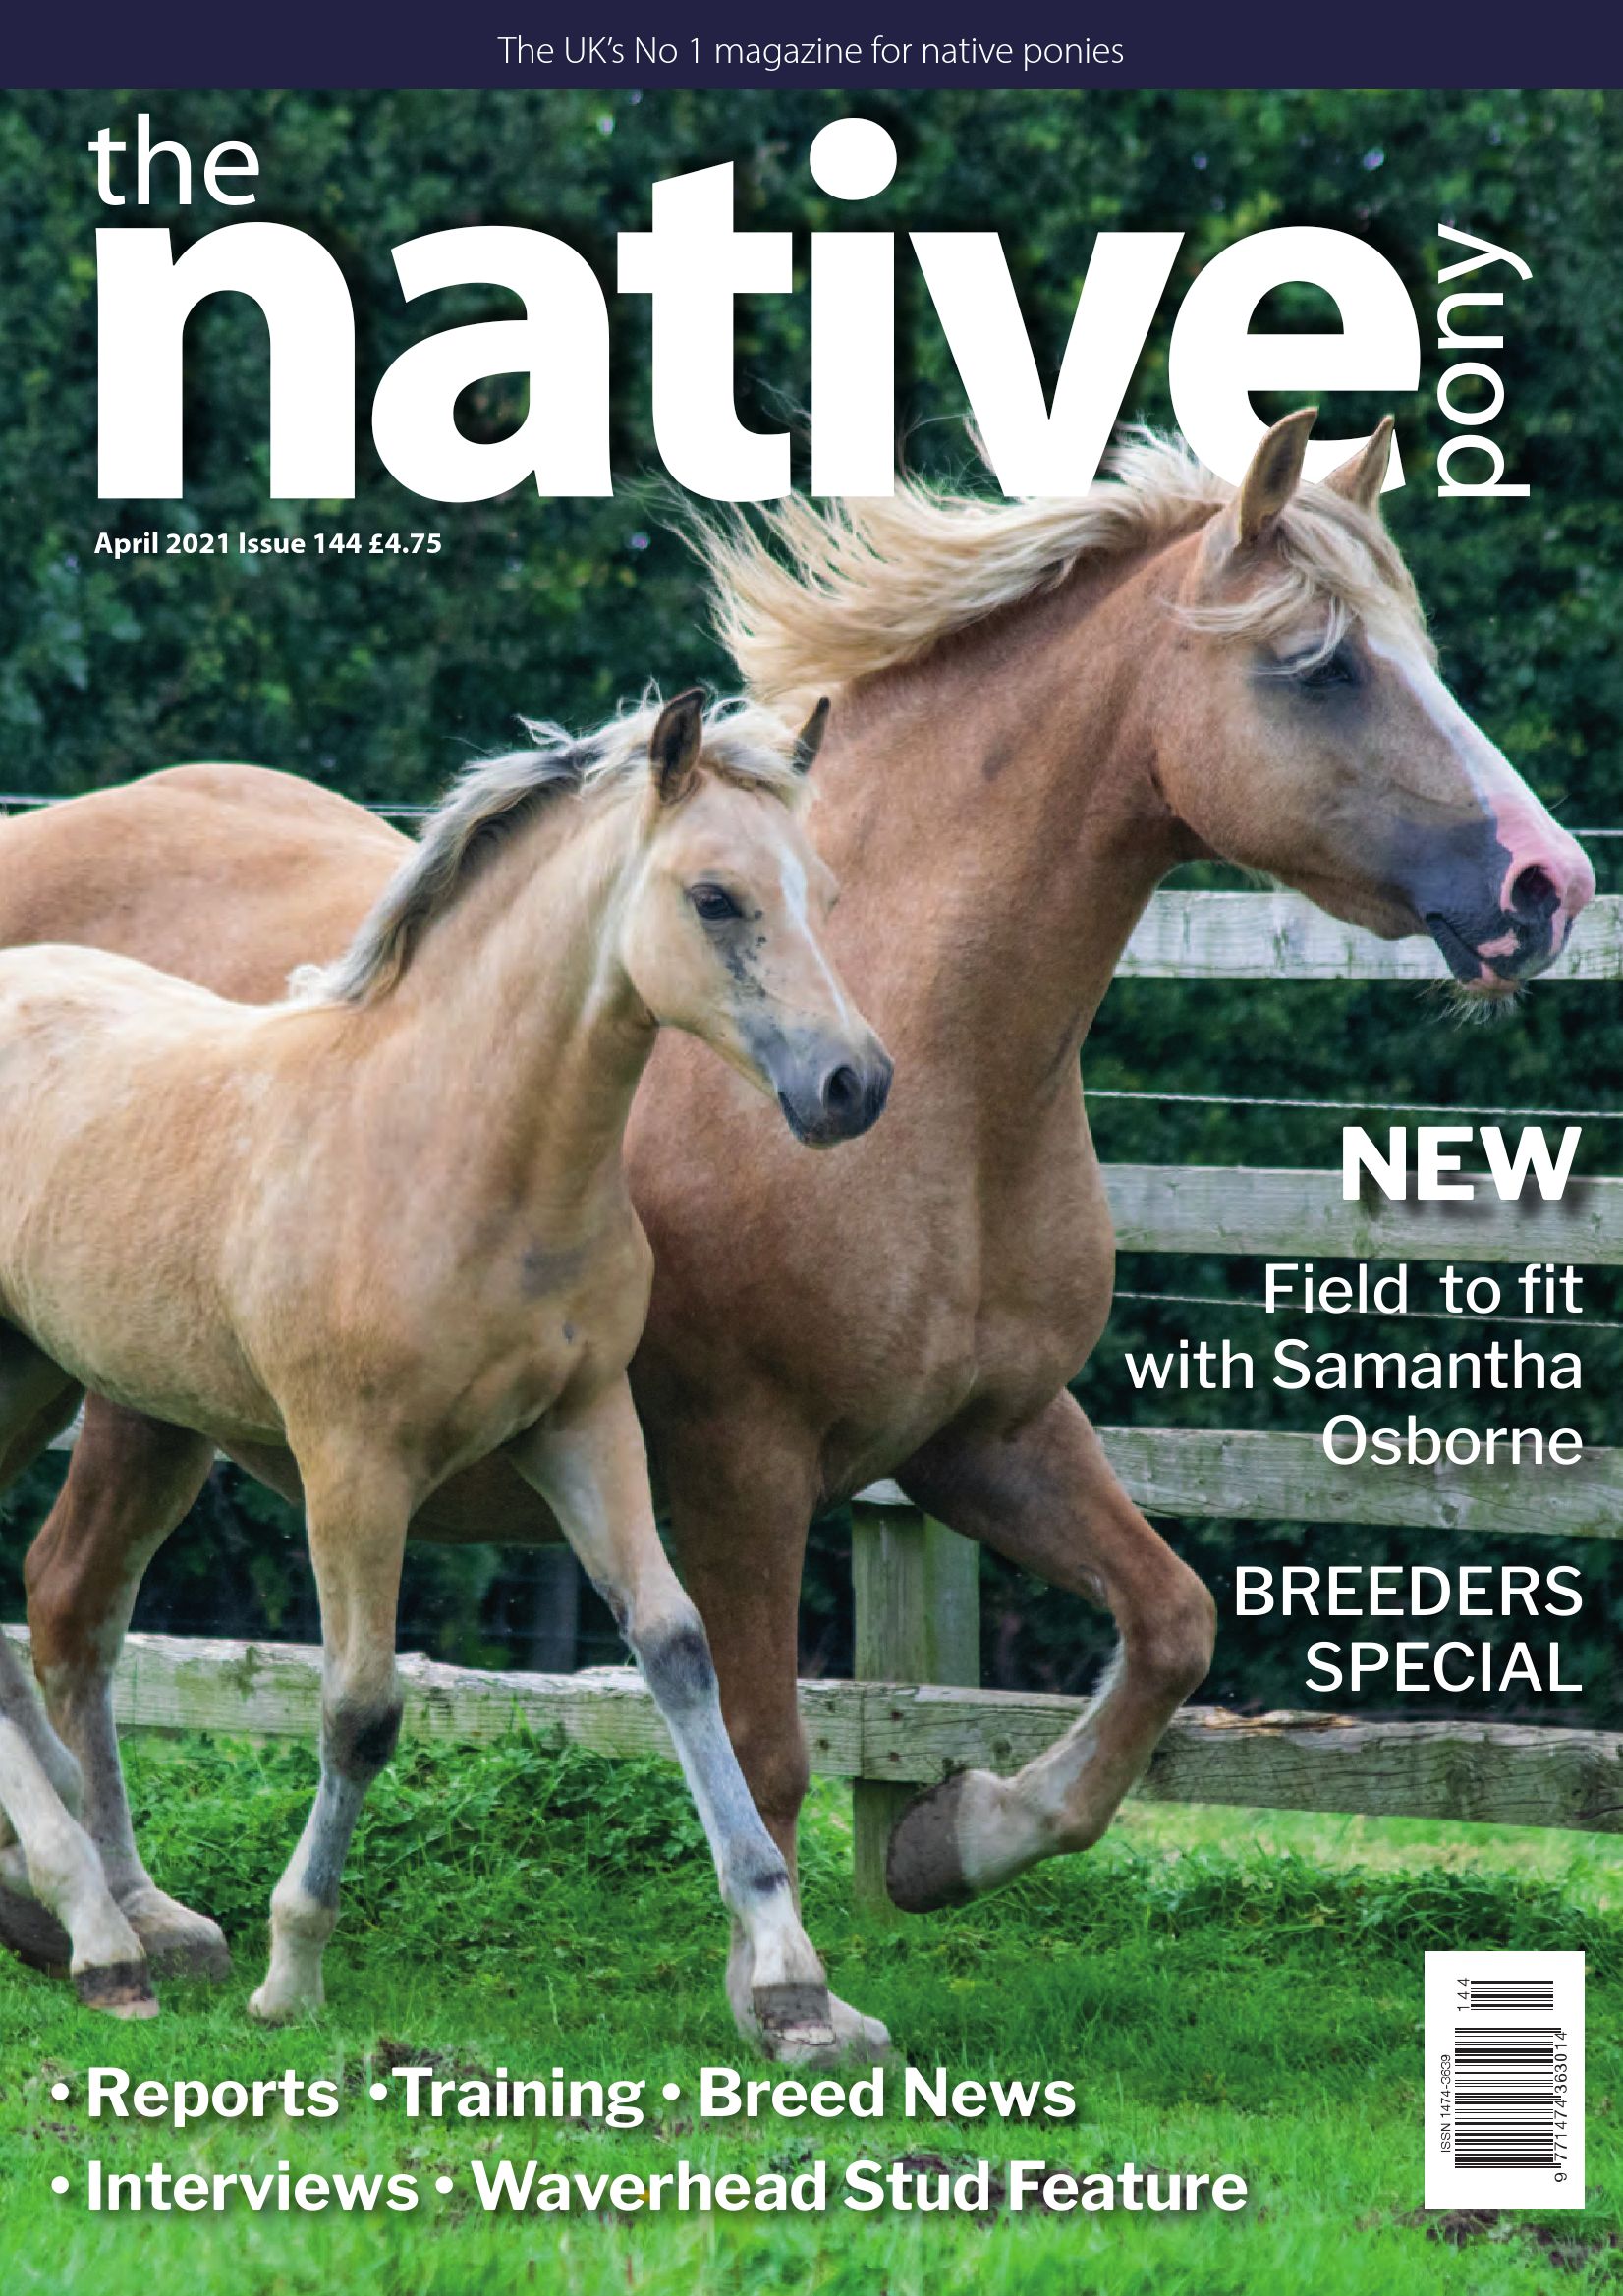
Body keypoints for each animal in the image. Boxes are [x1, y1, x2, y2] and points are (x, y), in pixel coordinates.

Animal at [0, 687, 892, 2046]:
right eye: (714, 897)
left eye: (824, 893)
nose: (853, 1084)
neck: (450, 1152)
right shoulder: (352, 1468)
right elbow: (361, 1708)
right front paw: (291, 1971)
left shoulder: (584, 1424)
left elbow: (675, 1650)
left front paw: (792, 1981)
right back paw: (103, 1937)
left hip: (33, 1376)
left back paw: (108, 1911)